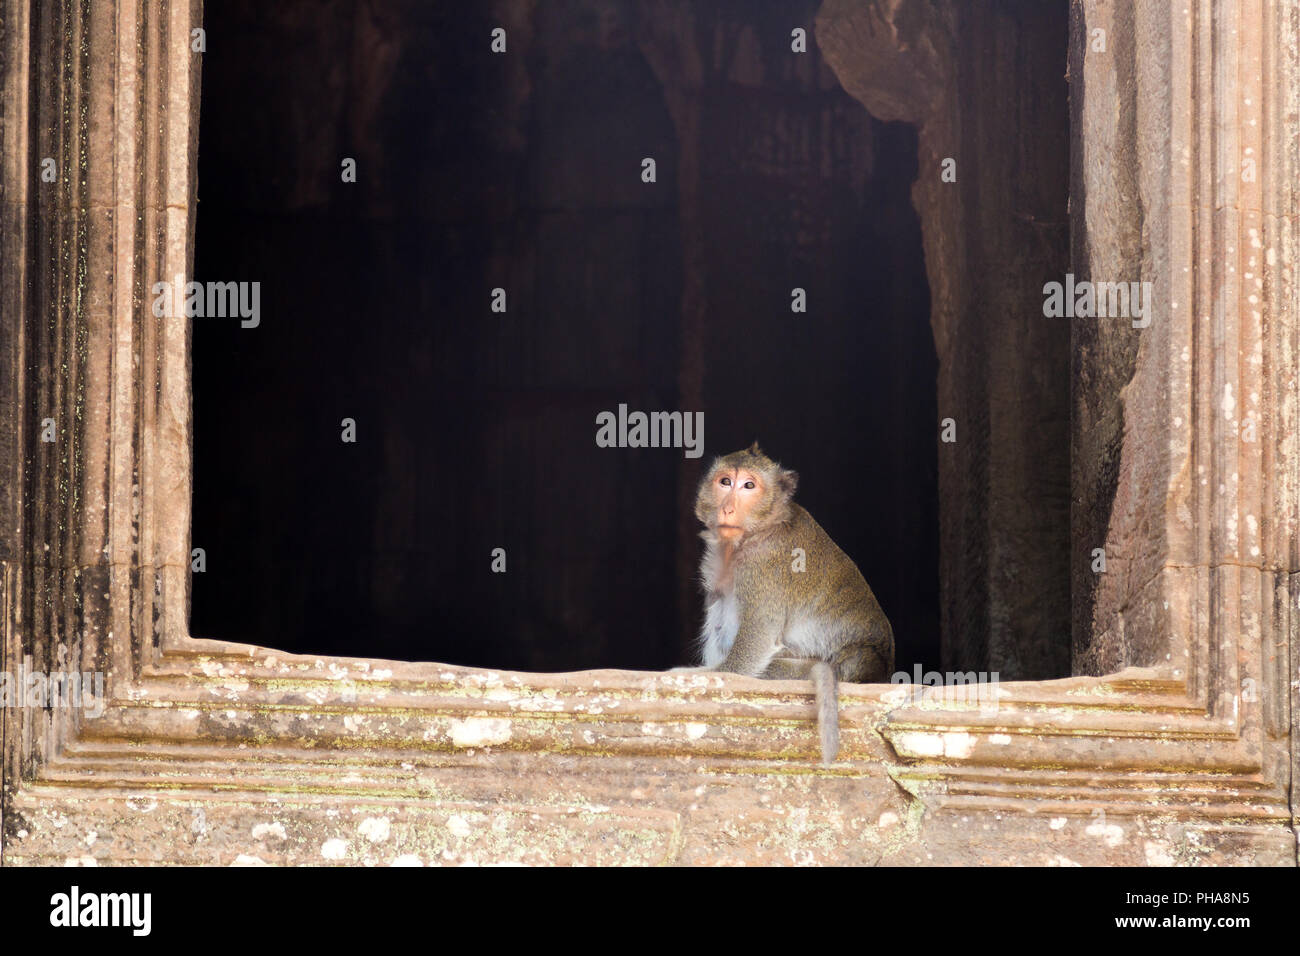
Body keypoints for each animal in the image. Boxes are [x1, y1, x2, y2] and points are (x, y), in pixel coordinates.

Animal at [676, 443, 894, 764]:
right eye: (725, 482)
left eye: (749, 486)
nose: (727, 508)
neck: (760, 530)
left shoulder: (763, 566)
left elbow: (753, 646)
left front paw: (700, 673)